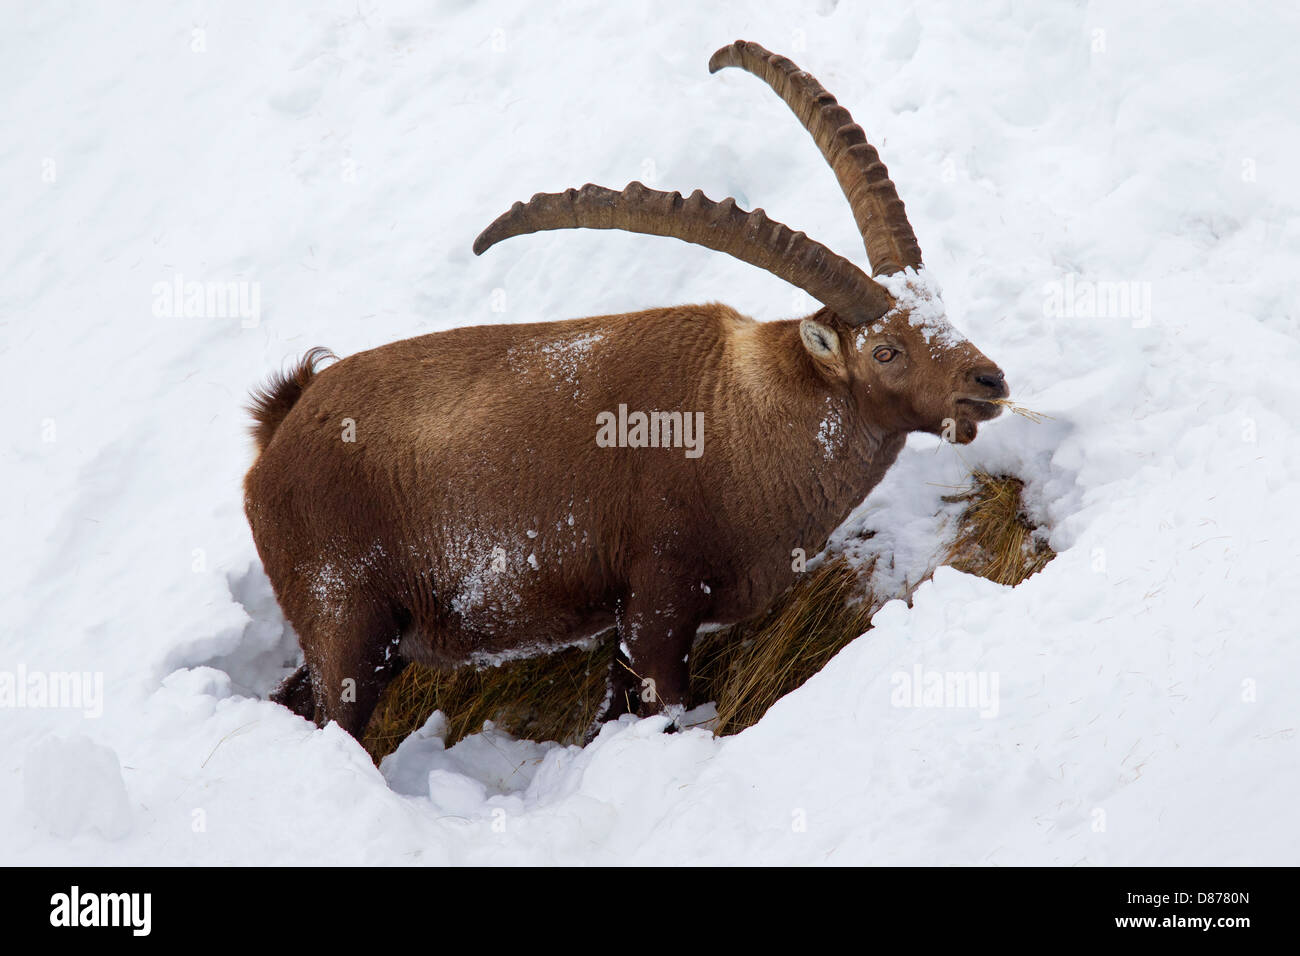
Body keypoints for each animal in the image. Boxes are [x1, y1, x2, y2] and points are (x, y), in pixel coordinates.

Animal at [244, 41, 1009, 740]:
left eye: (940, 310)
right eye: (885, 351)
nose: (989, 381)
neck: (743, 418)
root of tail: (278, 432)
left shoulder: (623, 620)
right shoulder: (657, 598)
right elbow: (667, 703)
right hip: (346, 620)